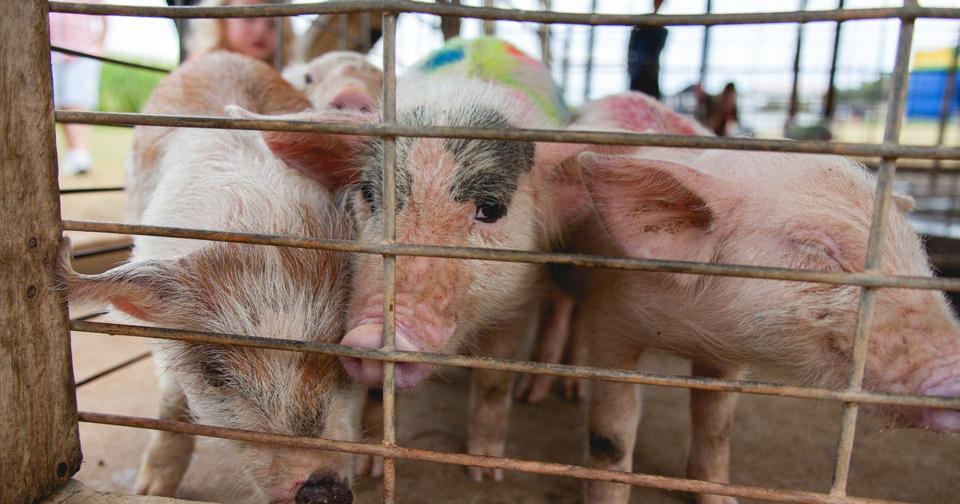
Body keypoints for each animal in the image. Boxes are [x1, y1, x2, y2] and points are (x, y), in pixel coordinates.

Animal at [61, 52, 368, 503]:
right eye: (214, 373)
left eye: (342, 355)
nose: (322, 490)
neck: (255, 220)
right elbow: (172, 398)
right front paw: (151, 490)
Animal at [553, 92, 960, 503]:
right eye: (817, 248)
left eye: (917, 249)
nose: (955, 370)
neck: (681, 332)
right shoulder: (611, 323)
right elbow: (611, 436)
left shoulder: (724, 356)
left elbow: (717, 427)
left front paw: (723, 498)